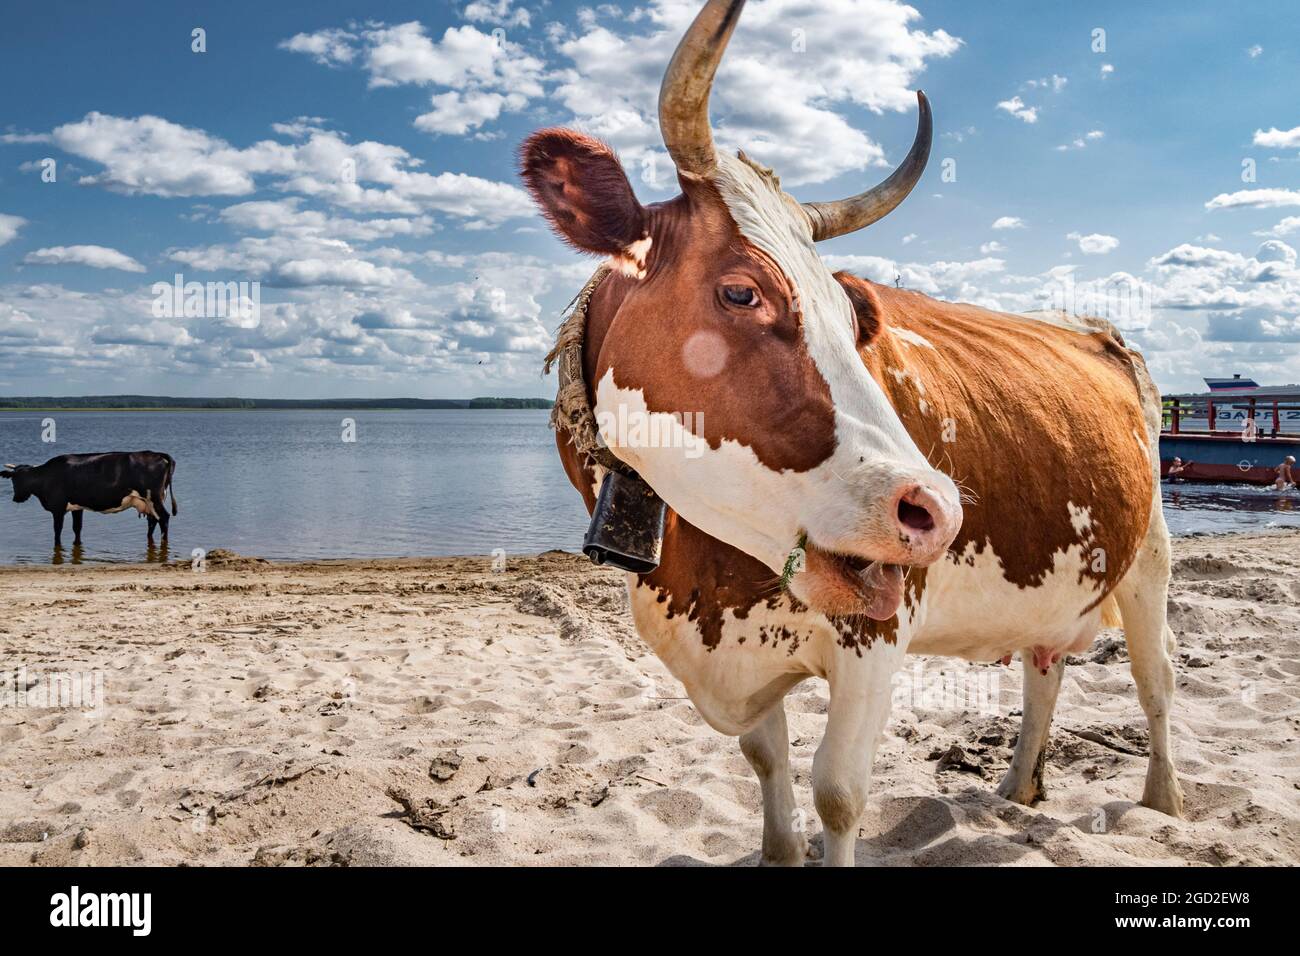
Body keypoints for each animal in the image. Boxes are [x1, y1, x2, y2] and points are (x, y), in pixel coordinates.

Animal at [1, 451, 178, 548]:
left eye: (16, 480)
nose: (15, 499)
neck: (45, 477)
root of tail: (155, 453)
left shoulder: (58, 508)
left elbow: (57, 530)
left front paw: (57, 545)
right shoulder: (77, 507)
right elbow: (77, 528)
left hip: (154, 498)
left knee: (164, 518)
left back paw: (164, 542)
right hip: (148, 502)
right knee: (152, 521)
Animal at [521, 0, 1183, 866]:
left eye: (848, 311)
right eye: (741, 291)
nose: (936, 512)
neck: (703, 580)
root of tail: (1089, 325)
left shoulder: (877, 638)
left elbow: (839, 794)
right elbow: (765, 762)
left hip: (1149, 558)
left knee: (1157, 680)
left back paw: (1163, 803)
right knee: (1045, 669)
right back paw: (1016, 790)